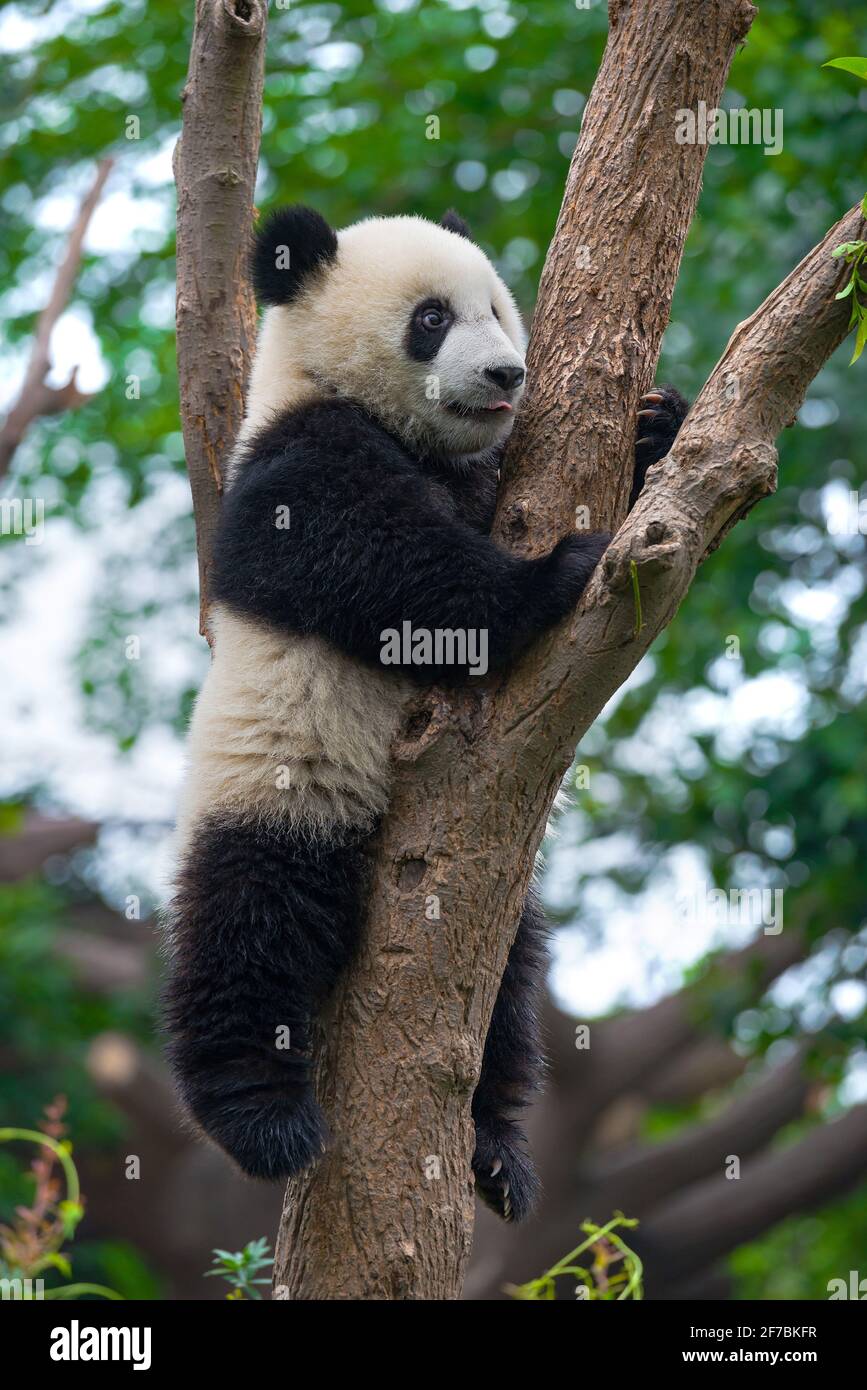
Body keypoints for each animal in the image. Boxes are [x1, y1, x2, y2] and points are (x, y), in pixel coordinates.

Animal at [164, 204, 687, 1222]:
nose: (507, 375)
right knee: (248, 922)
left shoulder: (483, 471)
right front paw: (556, 572)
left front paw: (656, 427)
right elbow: (390, 571)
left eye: (497, 309)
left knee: (509, 989)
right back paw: (259, 1116)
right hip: (280, 783)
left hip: (503, 910)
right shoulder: (295, 460)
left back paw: (495, 1151)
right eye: (431, 320)